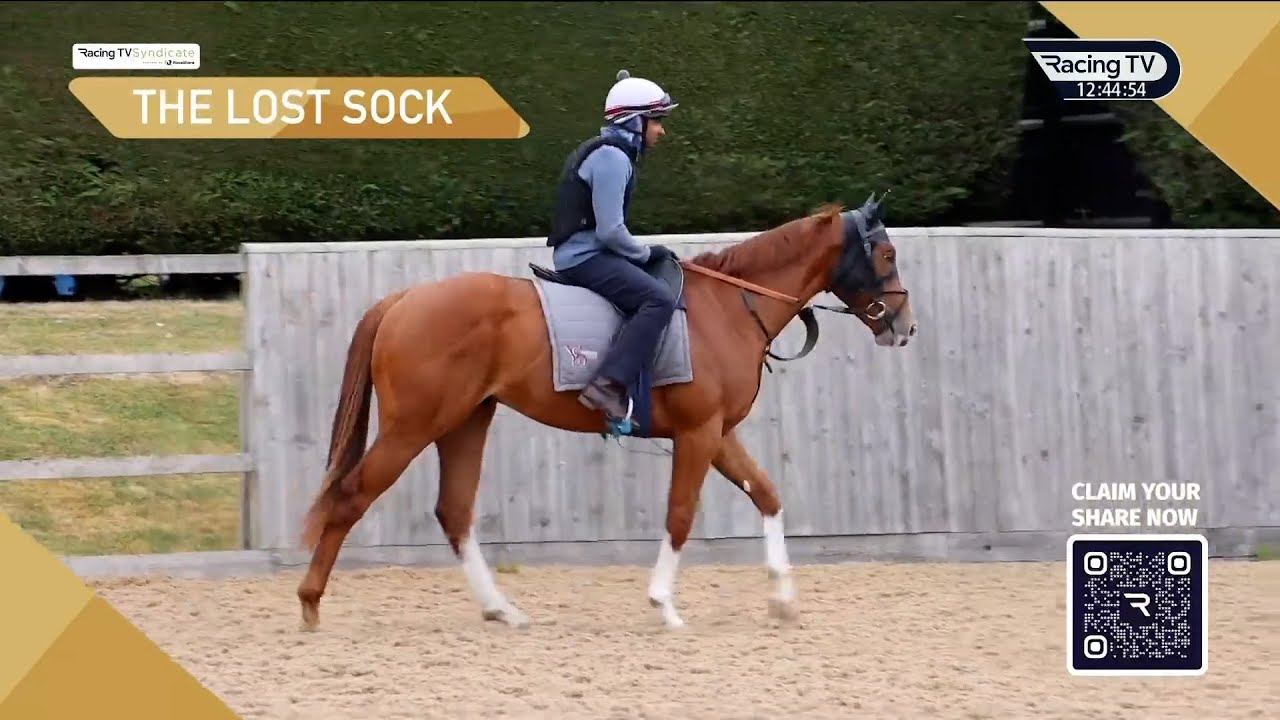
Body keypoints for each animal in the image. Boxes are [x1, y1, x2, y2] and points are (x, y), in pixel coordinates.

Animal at [295, 192, 916, 631]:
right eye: (886, 254)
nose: (905, 327)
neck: (728, 306)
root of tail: (403, 300)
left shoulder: (719, 433)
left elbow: (767, 495)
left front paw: (783, 600)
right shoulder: (698, 432)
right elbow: (680, 515)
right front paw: (664, 604)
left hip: (465, 421)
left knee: (455, 512)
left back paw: (502, 610)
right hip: (414, 427)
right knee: (351, 497)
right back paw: (310, 603)